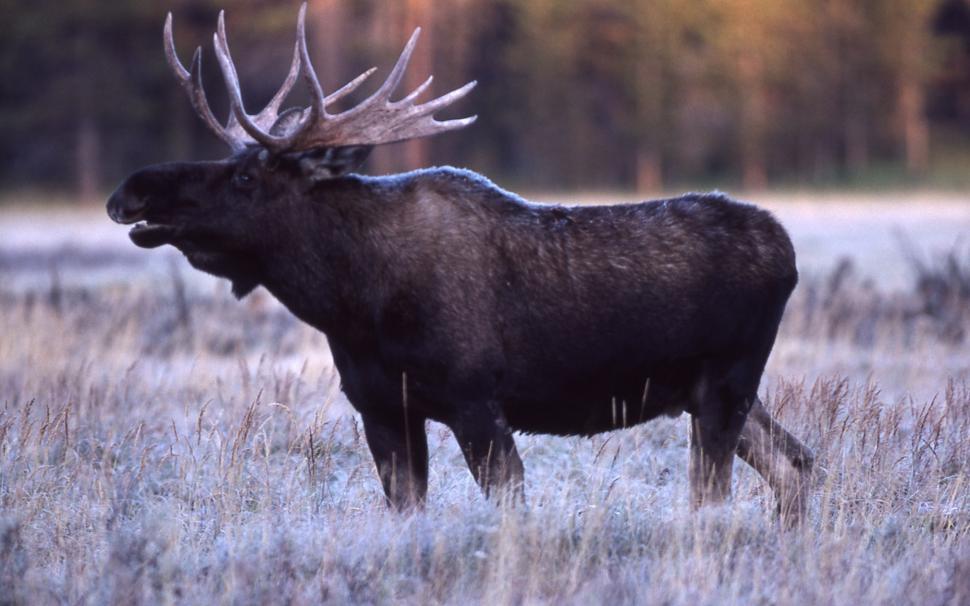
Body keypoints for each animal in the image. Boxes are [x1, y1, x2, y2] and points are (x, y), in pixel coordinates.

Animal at [107, 4, 814, 523]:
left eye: (246, 176)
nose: (131, 191)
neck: (351, 302)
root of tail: (787, 251)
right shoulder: (383, 409)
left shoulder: (475, 401)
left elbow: (509, 507)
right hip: (709, 393)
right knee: (797, 463)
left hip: (725, 384)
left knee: (719, 494)